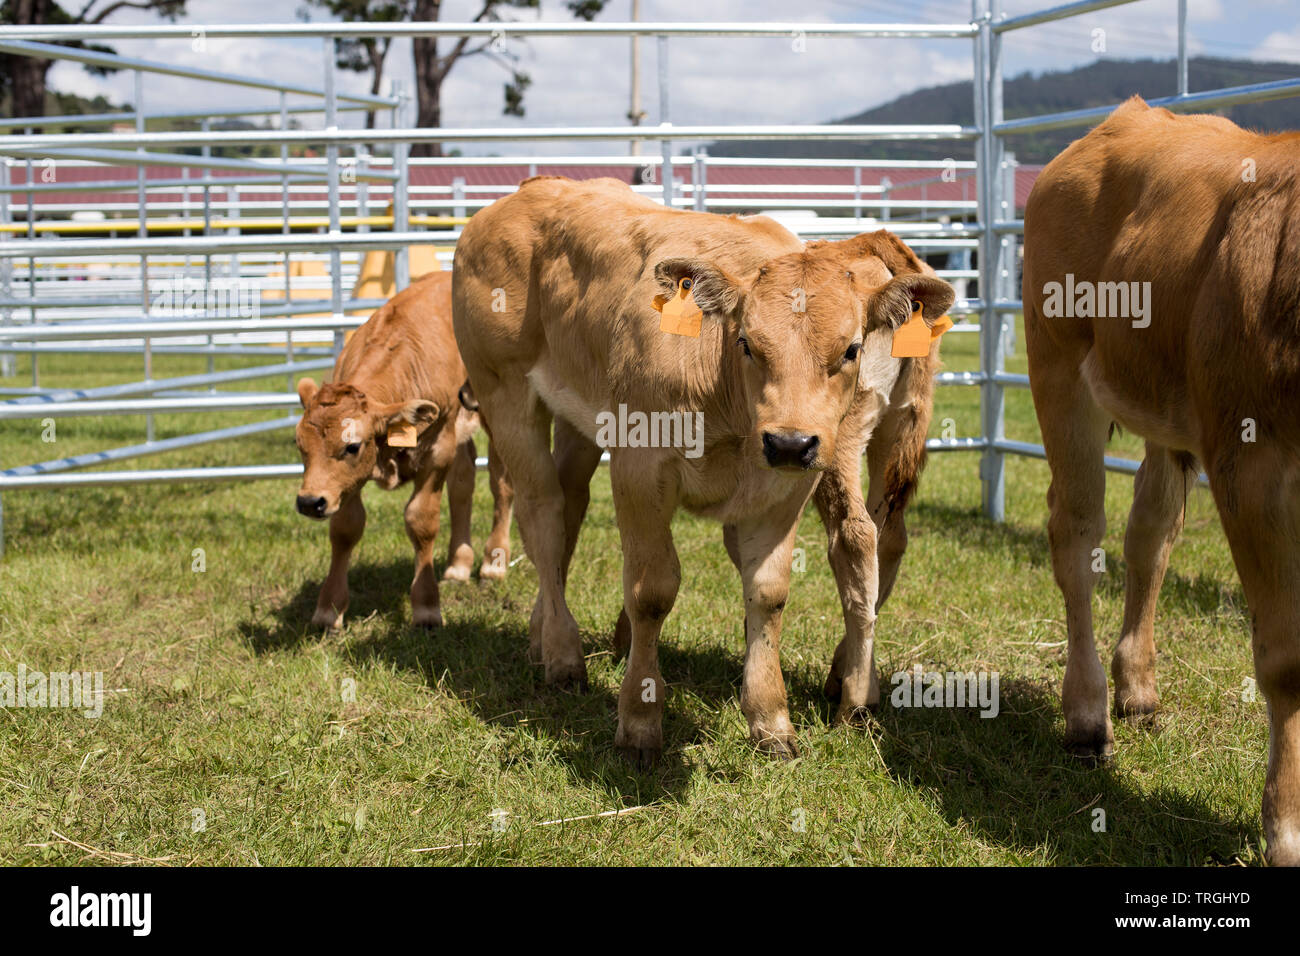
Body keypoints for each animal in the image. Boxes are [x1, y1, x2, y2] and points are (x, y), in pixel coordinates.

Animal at [294, 271, 514, 630]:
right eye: (299, 445)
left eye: (352, 445)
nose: (310, 502)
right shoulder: (345, 483)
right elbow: (345, 529)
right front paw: (329, 609)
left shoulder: (439, 449)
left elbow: (421, 520)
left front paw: (426, 608)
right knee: (463, 483)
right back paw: (458, 565)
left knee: (501, 484)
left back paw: (493, 564)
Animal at [452, 176, 954, 765]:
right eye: (747, 343)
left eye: (851, 348)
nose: (789, 442)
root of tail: (530, 190)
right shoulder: (639, 465)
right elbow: (651, 590)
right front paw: (639, 721)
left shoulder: (785, 487)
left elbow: (768, 591)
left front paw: (770, 720)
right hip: (505, 395)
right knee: (545, 516)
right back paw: (562, 654)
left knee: (569, 507)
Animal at [1023, 96, 1300, 865]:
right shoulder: (1255, 466)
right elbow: (1285, 658)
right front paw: (1285, 828)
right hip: (1059, 366)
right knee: (1077, 533)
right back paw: (1088, 714)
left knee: (1150, 533)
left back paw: (1138, 687)